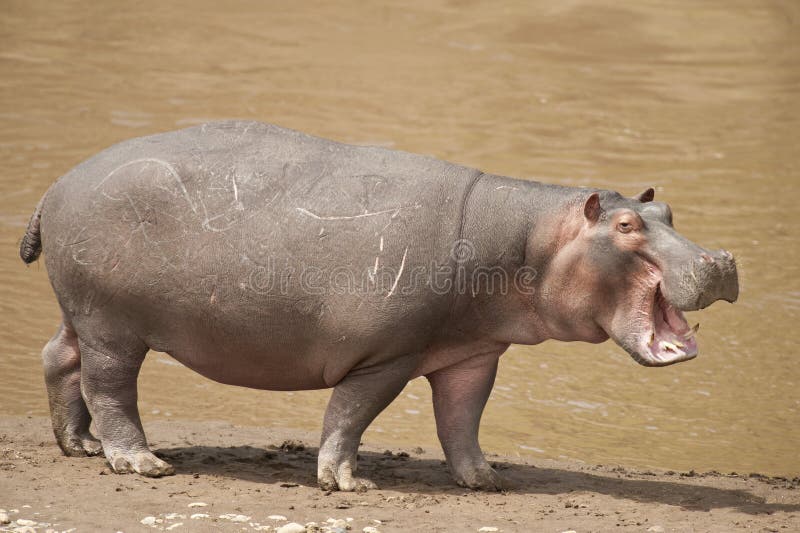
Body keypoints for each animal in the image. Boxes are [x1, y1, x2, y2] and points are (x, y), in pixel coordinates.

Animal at [20, 120, 738, 491]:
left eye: (667, 213)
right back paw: (139, 462)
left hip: (82, 312)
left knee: (59, 358)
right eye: (626, 227)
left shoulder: (474, 354)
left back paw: (77, 445)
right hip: (115, 324)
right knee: (111, 385)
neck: (533, 237)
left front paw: (486, 479)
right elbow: (351, 414)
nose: (722, 258)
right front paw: (346, 482)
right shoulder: (387, 355)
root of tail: (55, 185)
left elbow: (462, 418)